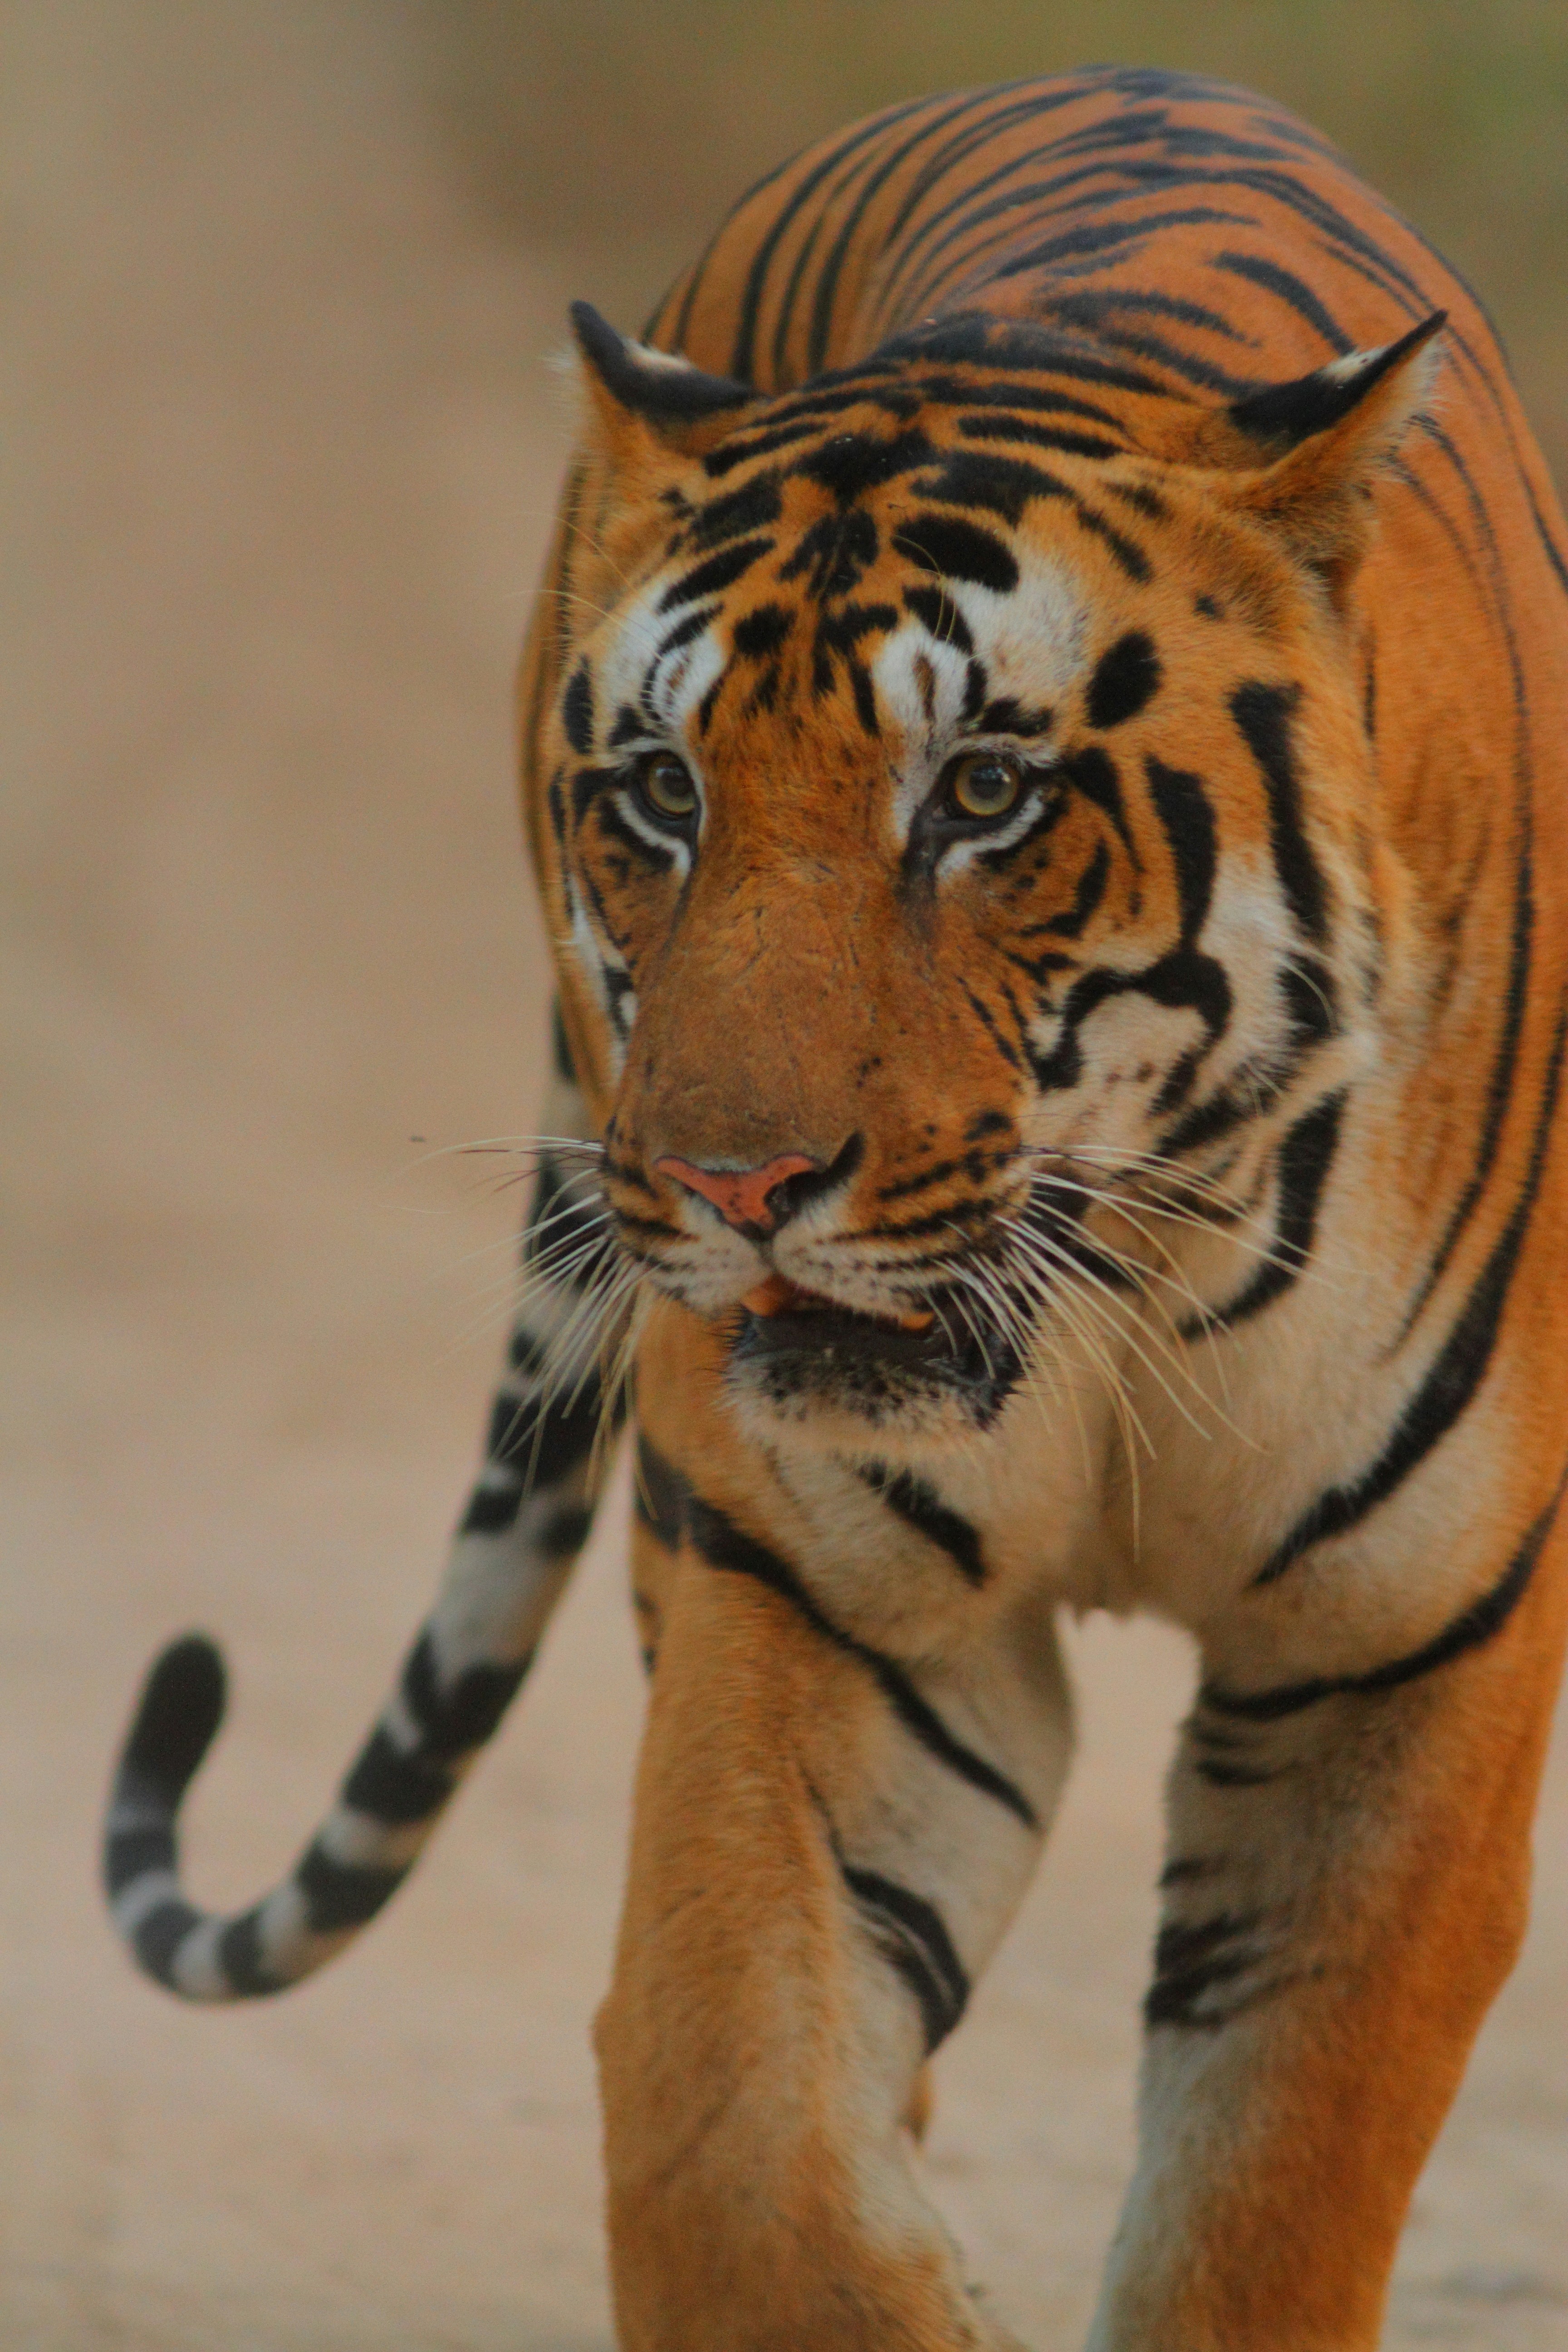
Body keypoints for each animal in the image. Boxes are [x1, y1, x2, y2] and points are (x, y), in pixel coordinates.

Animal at [100, 64, 1568, 2351]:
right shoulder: (821, 1595)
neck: (1132, 1283)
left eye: (982, 795)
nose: (725, 1187)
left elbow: (1270, 2197)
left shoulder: (1400, 1656)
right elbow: (738, 2139)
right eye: (659, 795)